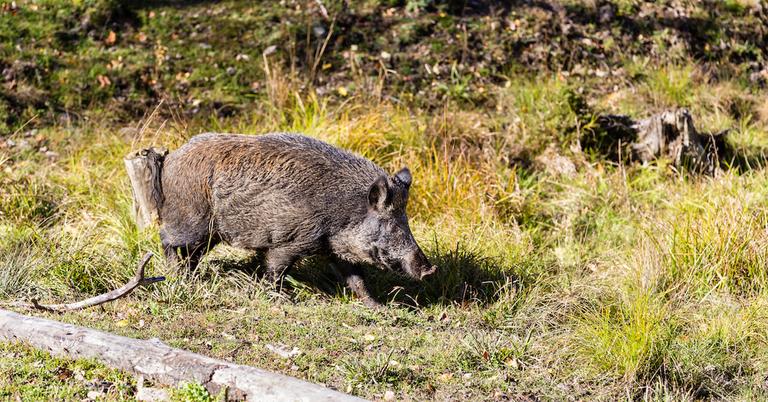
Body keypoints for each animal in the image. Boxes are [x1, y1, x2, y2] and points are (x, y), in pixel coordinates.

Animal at [158, 132, 436, 307]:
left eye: (406, 220)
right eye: (389, 223)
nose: (429, 269)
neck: (341, 212)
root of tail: (171, 159)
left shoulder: (335, 250)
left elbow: (357, 280)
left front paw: (379, 306)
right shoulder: (288, 242)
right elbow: (275, 272)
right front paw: (280, 298)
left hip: (209, 234)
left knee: (192, 255)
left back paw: (190, 277)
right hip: (192, 220)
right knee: (166, 239)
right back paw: (176, 275)